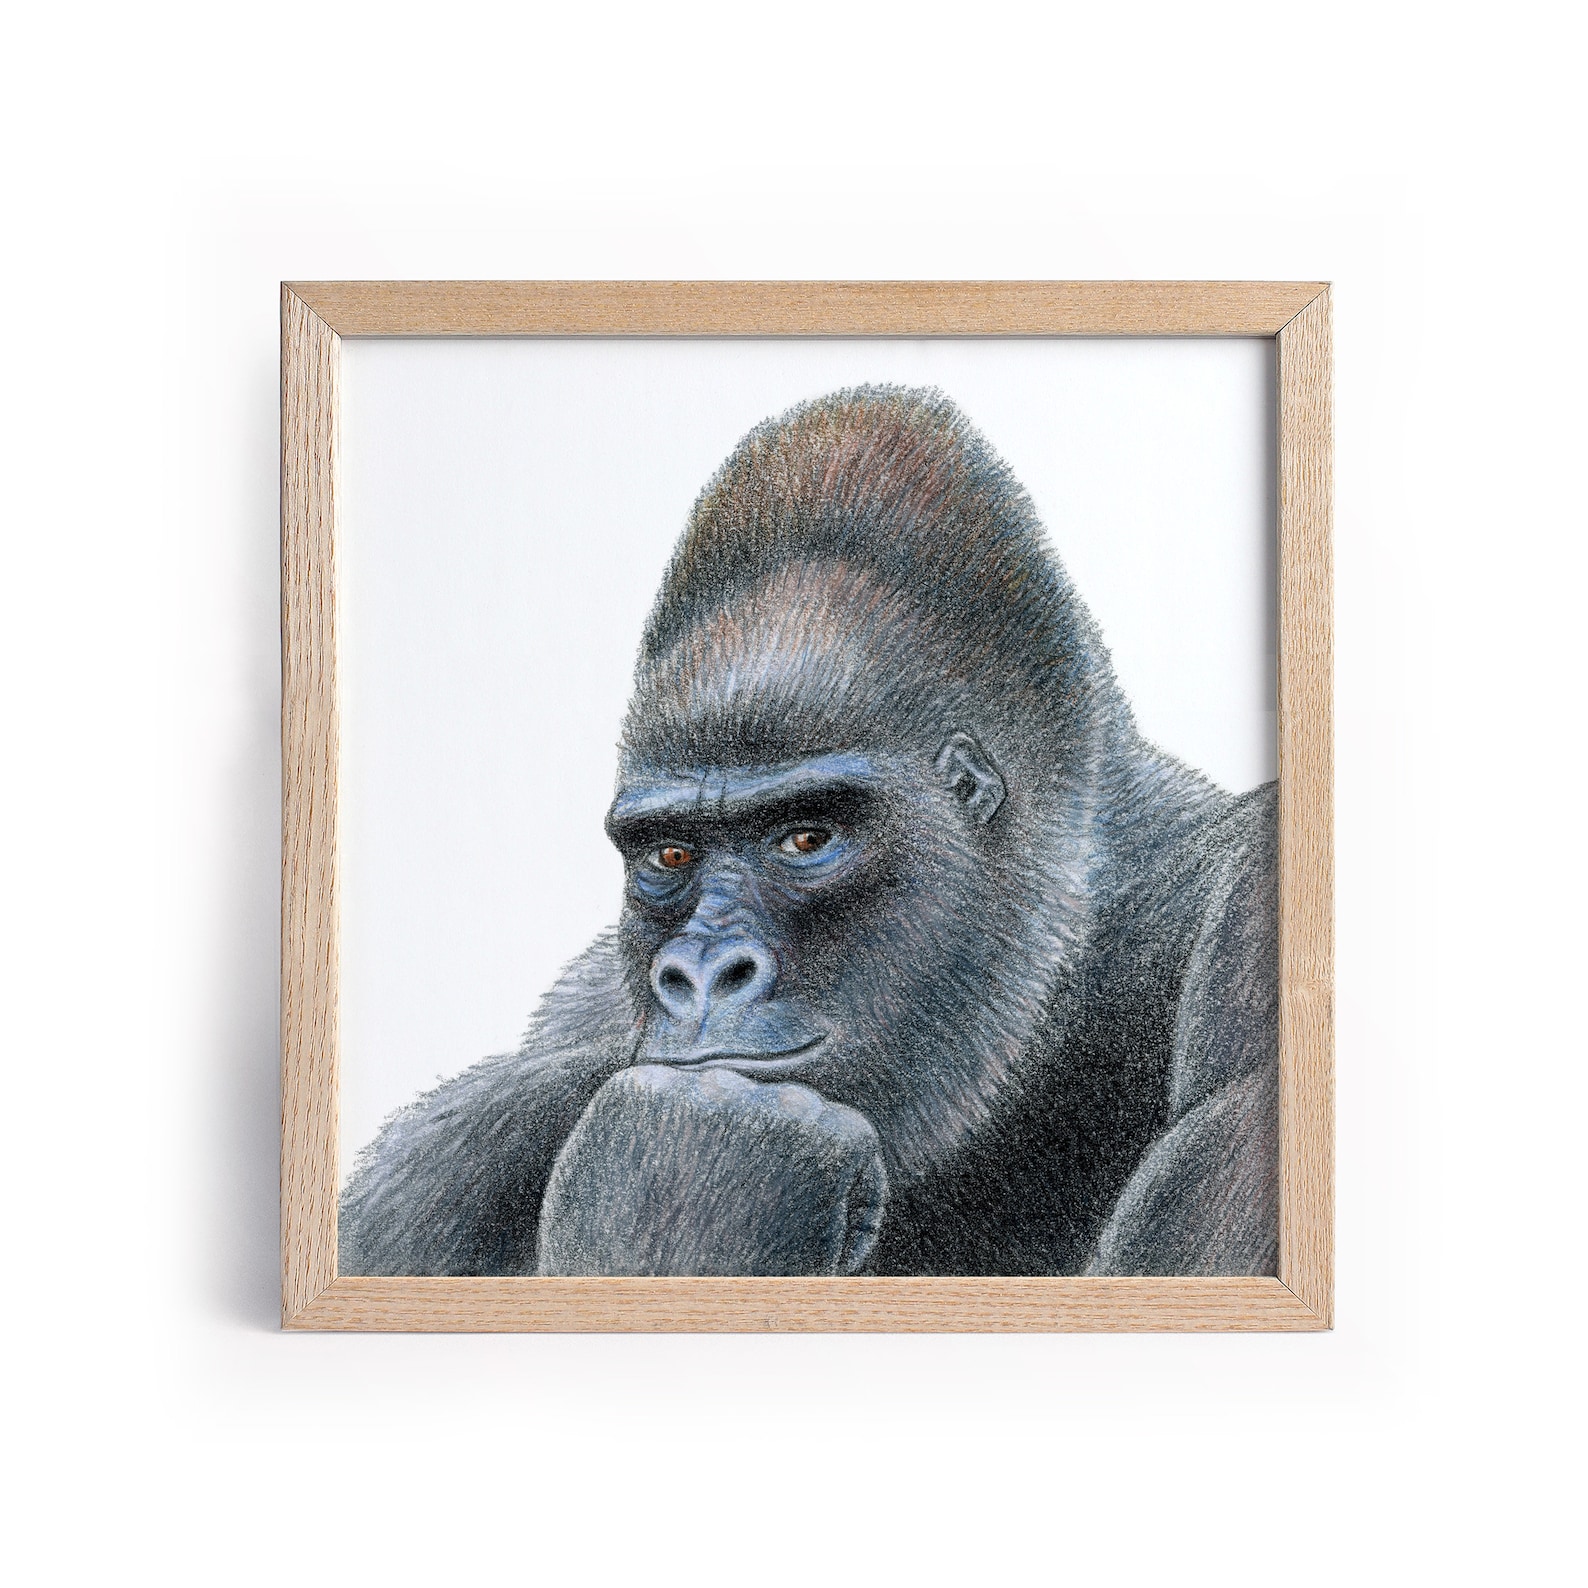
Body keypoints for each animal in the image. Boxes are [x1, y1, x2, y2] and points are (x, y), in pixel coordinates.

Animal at [338, 384, 1278, 1278]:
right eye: (669, 853)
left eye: (806, 839)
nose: (701, 973)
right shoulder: (486, 1104)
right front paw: (696, 1164)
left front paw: (694, 1170)